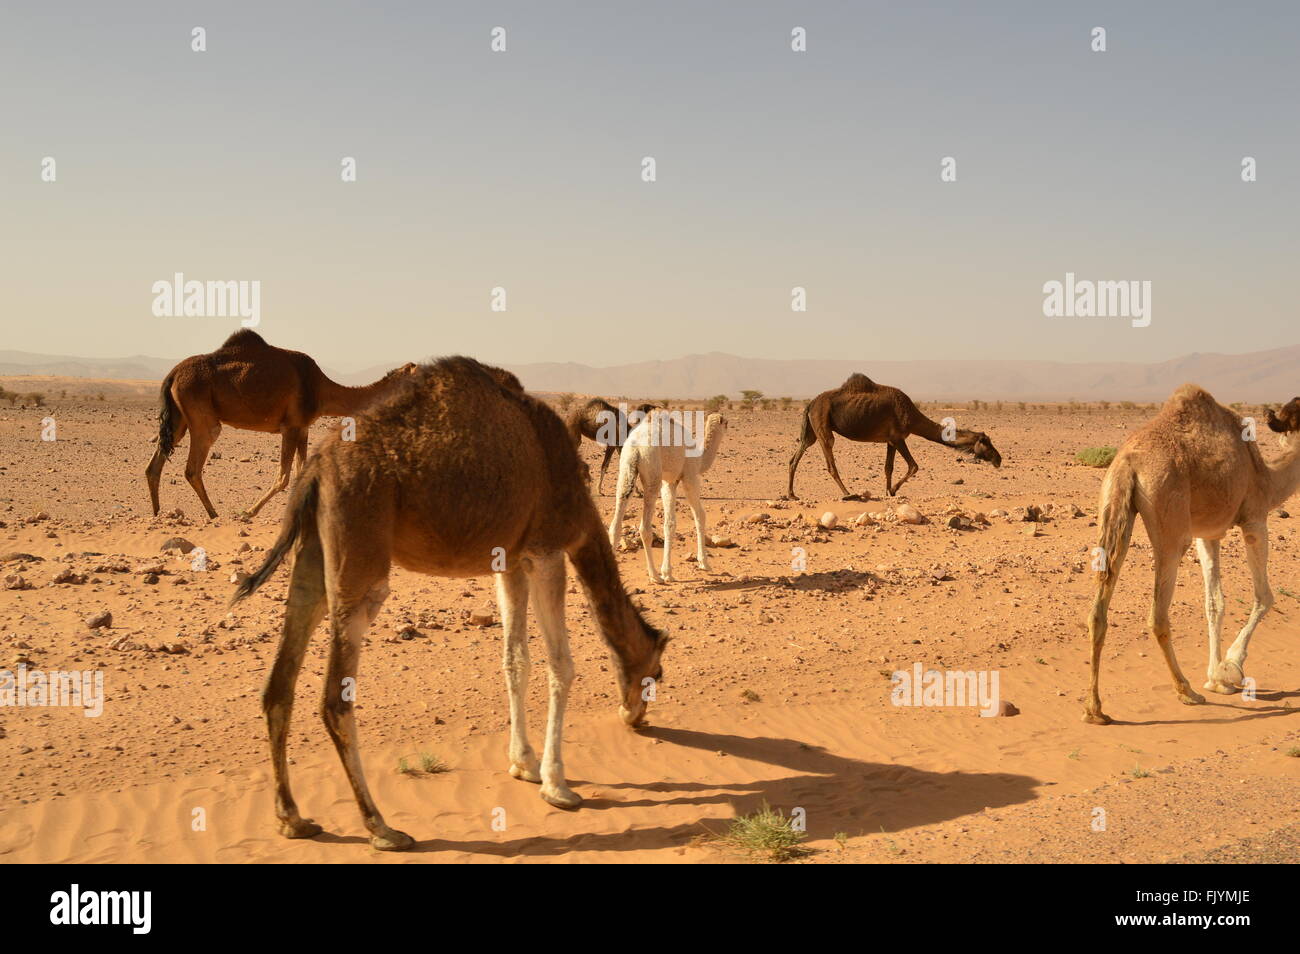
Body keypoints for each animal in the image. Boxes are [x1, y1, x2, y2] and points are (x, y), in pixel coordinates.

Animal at [146, 330, 417, 519]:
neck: (321, 390)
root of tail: (173, 373)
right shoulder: (292, 426)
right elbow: (284, 477)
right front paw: (248, 512)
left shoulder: (304, 427)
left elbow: (300, 472)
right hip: (201, 415)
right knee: (193, 467)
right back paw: (213, 514)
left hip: (179, 419)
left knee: (155, 464)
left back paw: (157, 514)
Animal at [230, 356, 668, 850]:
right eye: (656, 674)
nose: (638, 718)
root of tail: (317, 468)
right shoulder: (548, 549)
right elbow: (561, 664)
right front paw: (558, 786)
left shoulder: (511, 561)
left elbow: (516, 658)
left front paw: (523, 765)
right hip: (360, 547)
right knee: (334, 700)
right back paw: (381, 827)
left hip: (312, 553)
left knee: (281, 675)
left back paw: (293, 818)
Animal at [609, 409, 727, 584]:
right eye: (725, 423)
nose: (728, 426)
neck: (701, 459)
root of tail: (636, 447)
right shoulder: (689, 475)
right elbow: (700, 515)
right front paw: (703, 563)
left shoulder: (669, 481)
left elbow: (669, 523)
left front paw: (668, 572)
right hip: (652, 472)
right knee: (644, 528)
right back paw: (654, 576)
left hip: (626, 468)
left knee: (615, 523)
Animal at [786, 374, 1001, 500]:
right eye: (986, 443)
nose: (999, 459)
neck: (911, 415)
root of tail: (811, 403)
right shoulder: (899, 438)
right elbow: (914, 466)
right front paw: (893, 490)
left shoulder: (890, 440)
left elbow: (888, 468)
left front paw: (887, 491)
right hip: (822, 424)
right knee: (830, 459)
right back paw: (848, 493)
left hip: (811, 430)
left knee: (795, 456)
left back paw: (791, 495)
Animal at [1084, 388, 1300, 725]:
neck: (1267, 477)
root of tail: (1129, 463)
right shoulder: (1254, 519)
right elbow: (1264, 596)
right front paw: (1231, 669)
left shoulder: (1208, 534)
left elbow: (1214, 603)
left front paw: (1216, 678)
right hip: (1171, 527)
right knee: (1158, 614)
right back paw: (1186, 691)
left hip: (1113, 508)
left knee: (1098, 609)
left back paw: (1095, 710)